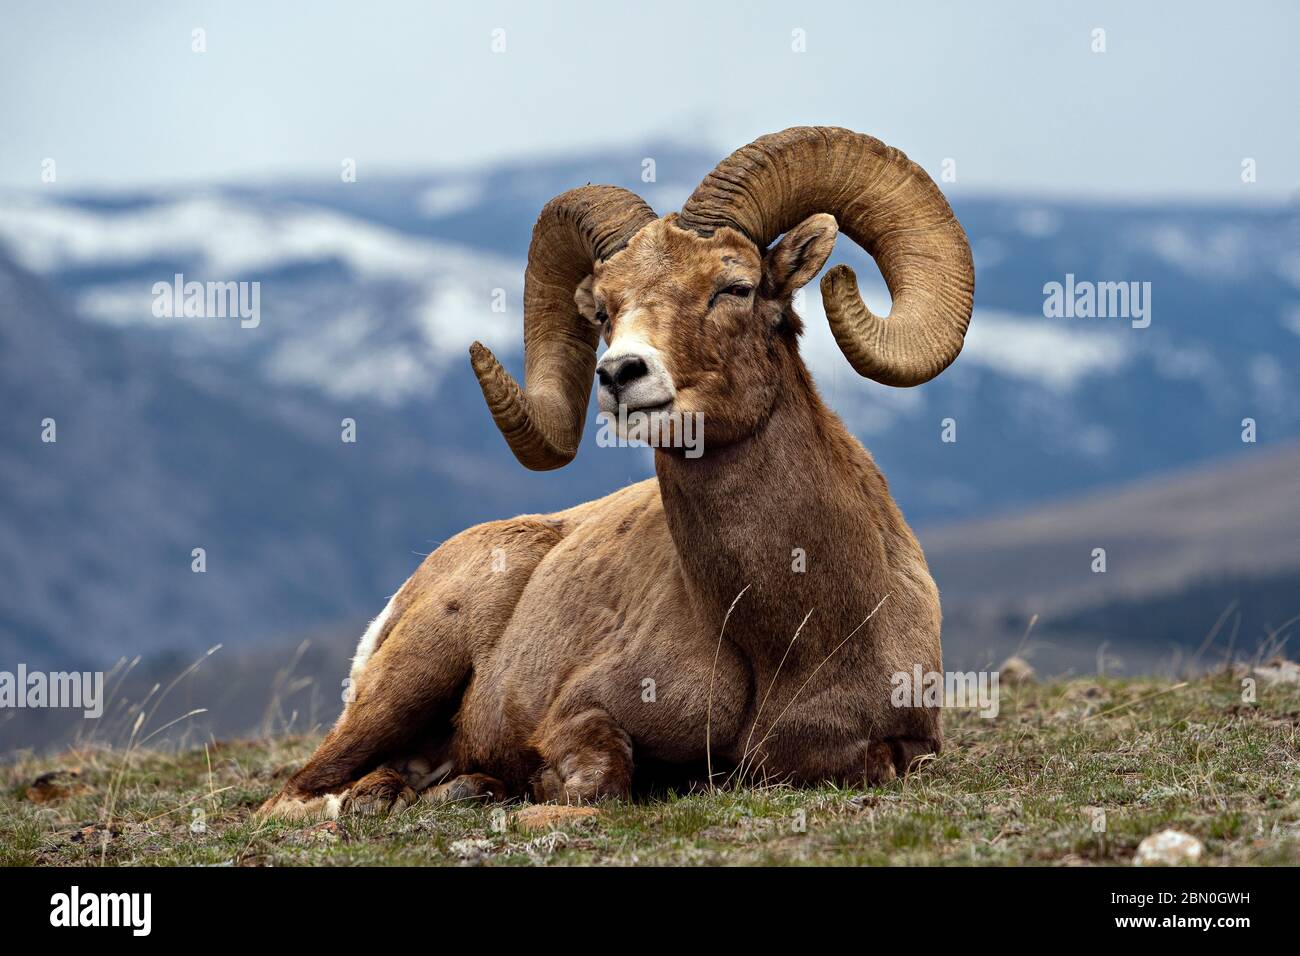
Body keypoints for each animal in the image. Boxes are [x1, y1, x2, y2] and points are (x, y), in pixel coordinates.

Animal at [259, 126, 975, 818]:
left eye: (735, 287)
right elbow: (601, 783)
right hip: (411, 676)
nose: (620, 374)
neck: (790, 636)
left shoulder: (908, 747)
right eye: (604, 311)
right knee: (290, 797)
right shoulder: (579, 715)